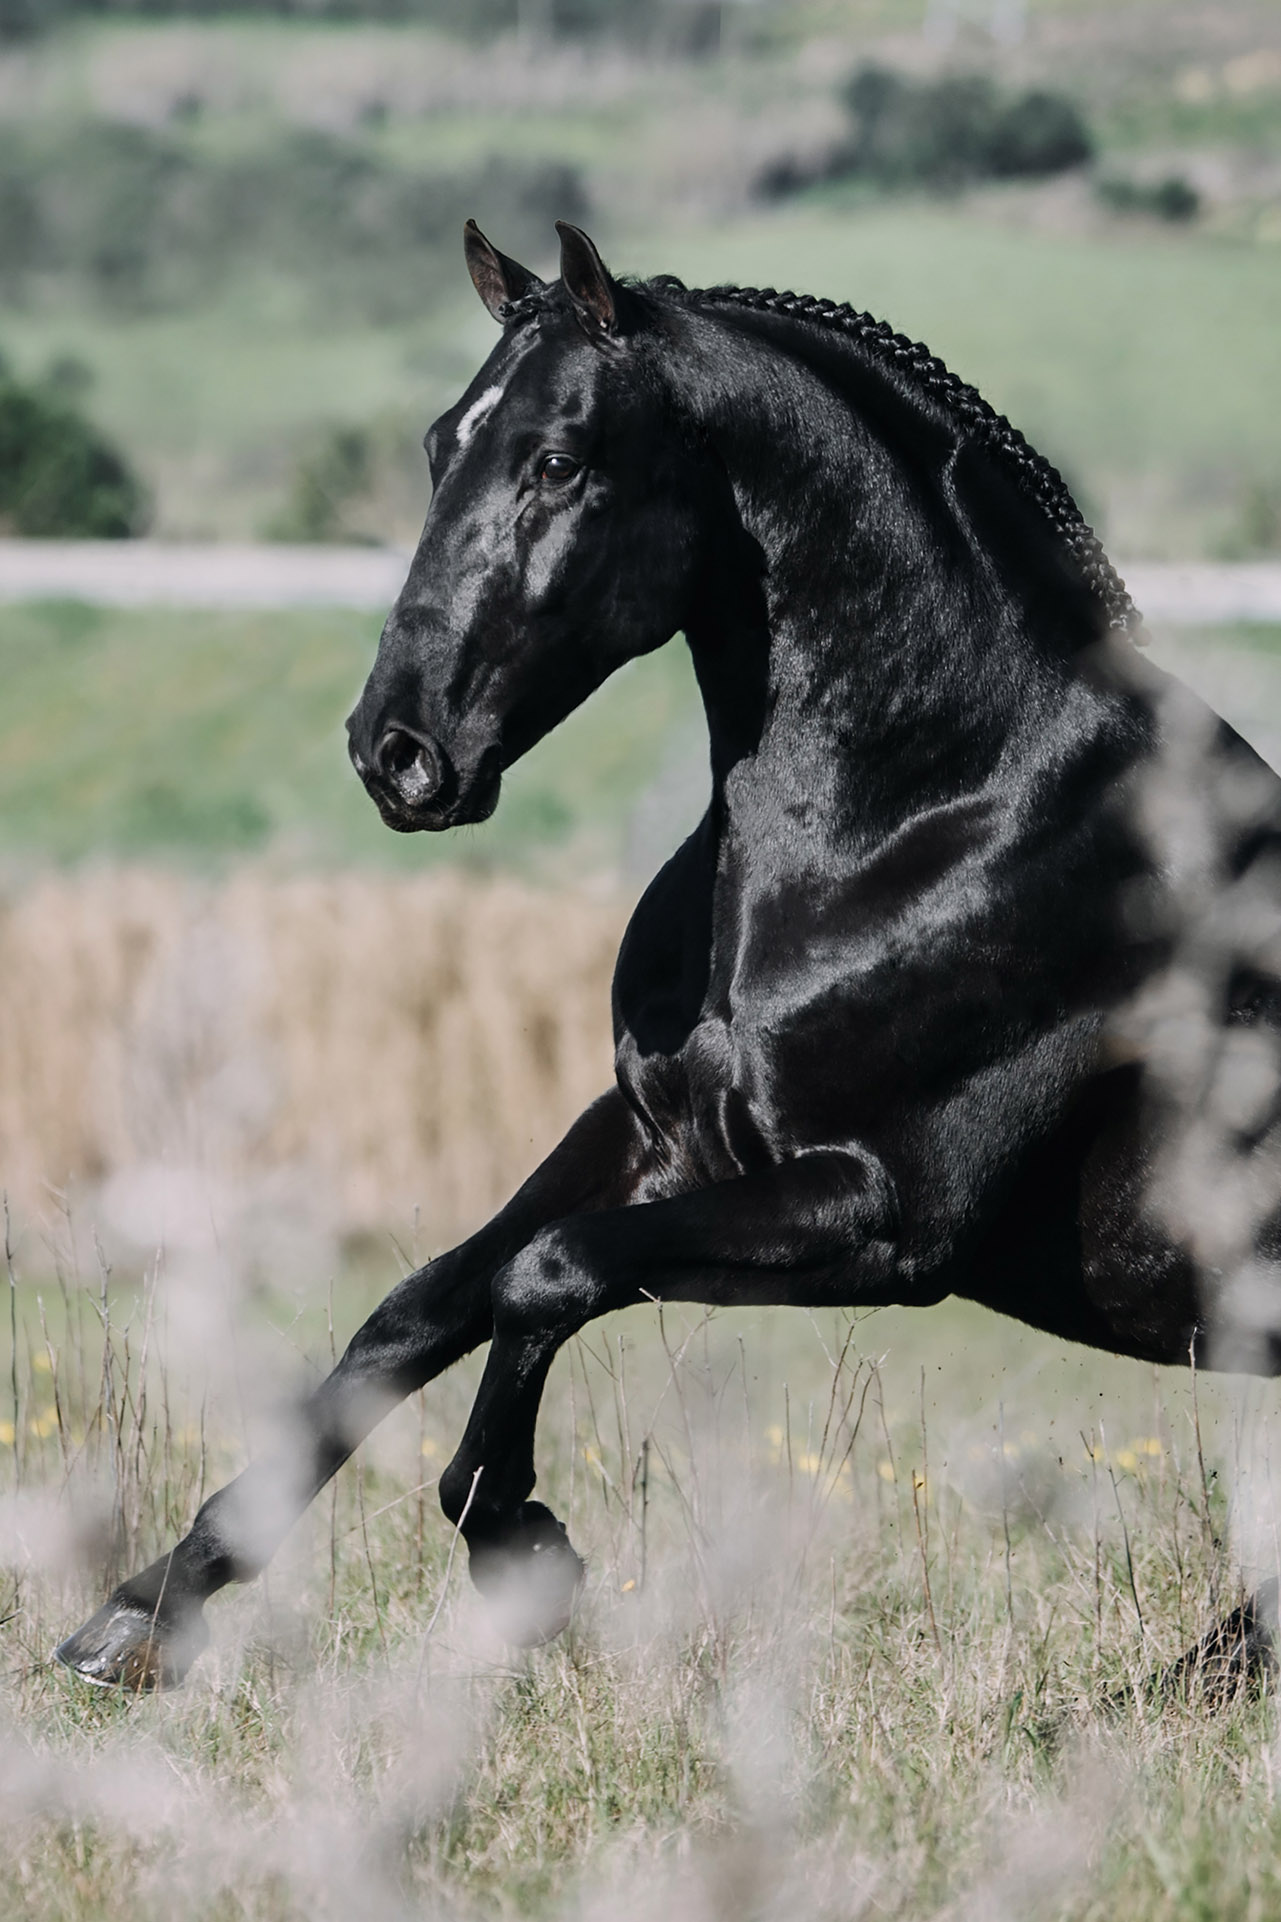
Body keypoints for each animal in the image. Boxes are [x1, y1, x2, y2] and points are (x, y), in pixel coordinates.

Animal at [56, 219, 1281, 1690]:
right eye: (440, 445)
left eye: (557, 460)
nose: (395, 751)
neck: (932, 816)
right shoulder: (652, 1131)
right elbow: (419, 1305)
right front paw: (142, 1611)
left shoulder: (881, 1214)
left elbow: (548, 1272)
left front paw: (523, 1543)